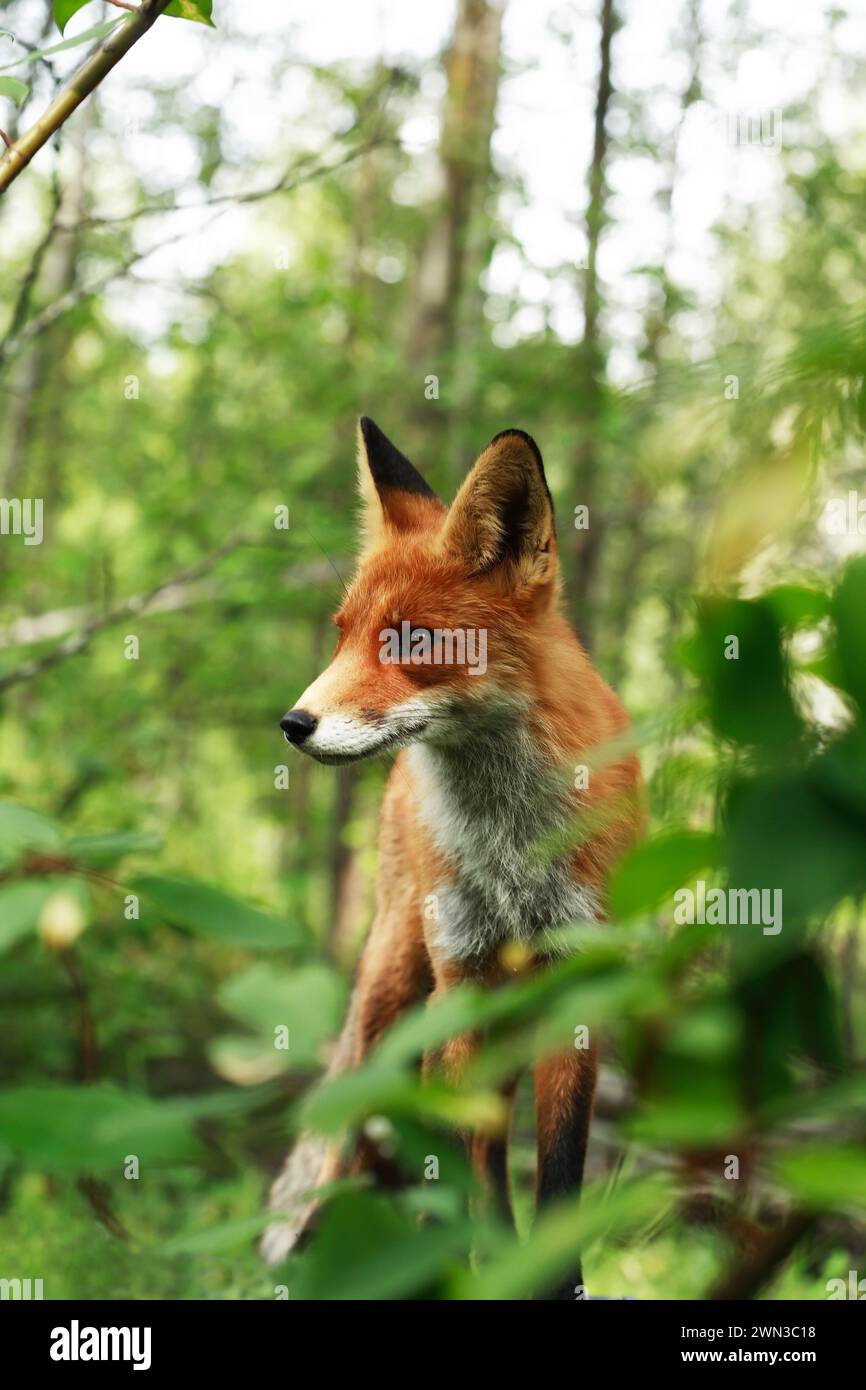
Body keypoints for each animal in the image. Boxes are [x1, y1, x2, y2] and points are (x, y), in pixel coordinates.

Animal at [263, 417, 643, 1298]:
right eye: (342, 634)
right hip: (396, 980)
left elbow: (558, 1174)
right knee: (354, 1135)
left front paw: (551, 1280)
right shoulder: (461, 975)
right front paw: (464, 1260)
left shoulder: (577, 981)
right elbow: (461, 1163)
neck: (510, 850)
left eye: (411, 640)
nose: (294, 724)